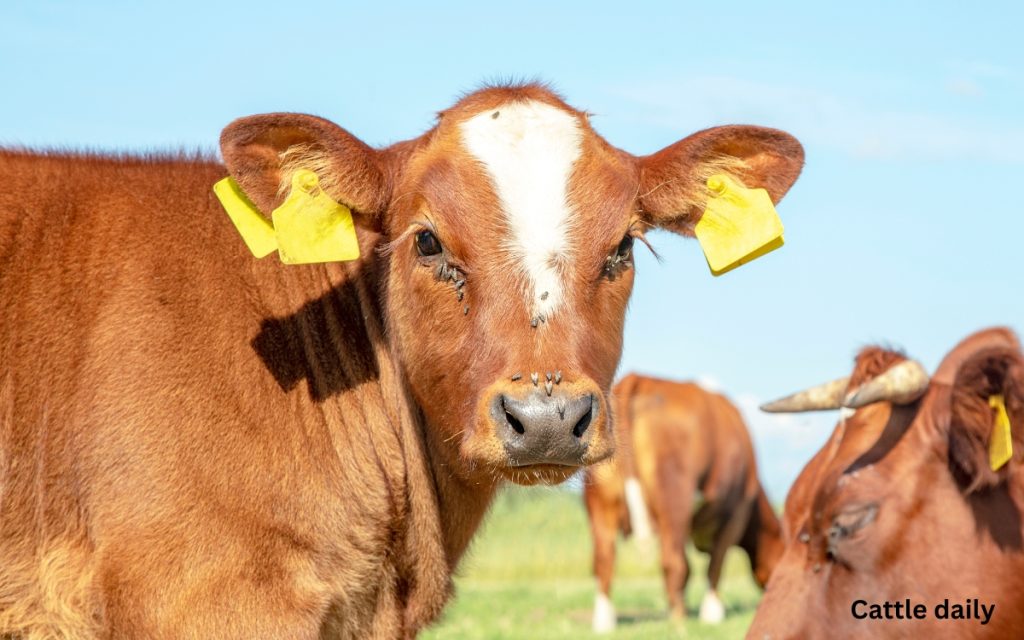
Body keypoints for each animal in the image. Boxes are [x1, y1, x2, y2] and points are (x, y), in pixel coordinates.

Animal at [583, 373, 783, 632]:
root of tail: (640, 379)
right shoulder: (736, 512)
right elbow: (716, 564)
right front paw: (712, 613)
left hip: (601, 502)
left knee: (604, 560)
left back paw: (605, 622)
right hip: (674, 497)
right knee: (672, 561)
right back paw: (678, 620)